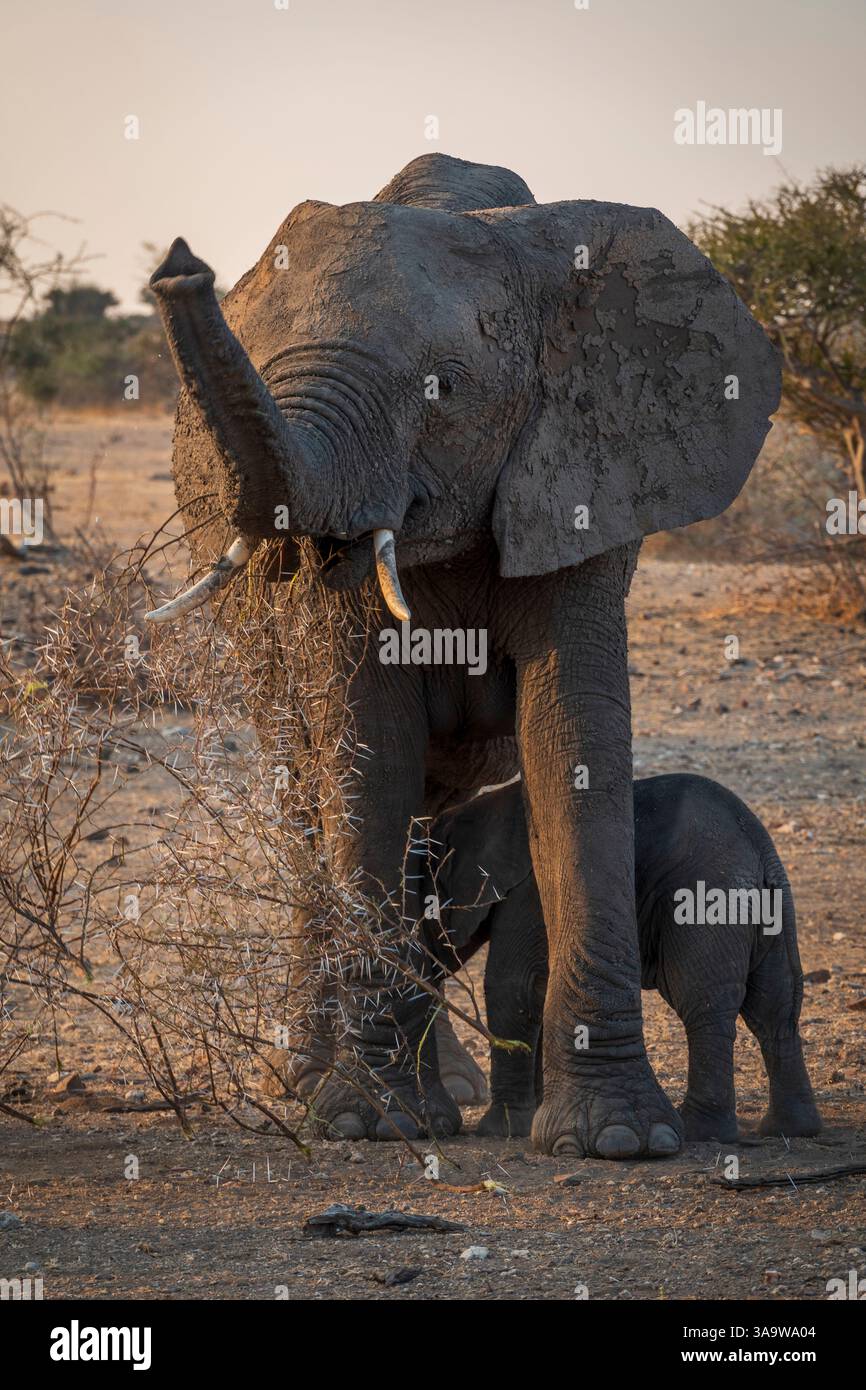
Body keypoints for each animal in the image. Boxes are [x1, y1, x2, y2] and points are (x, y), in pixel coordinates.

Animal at [146, 152, 781, 1158]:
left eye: (443, 389)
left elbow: (572, 742)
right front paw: (364, 1122)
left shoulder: (581, 473)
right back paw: (322, 1086)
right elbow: (367, 752)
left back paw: (442, 1090)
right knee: (307, 794)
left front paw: (616, 1139)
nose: (176, 264)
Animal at [428, 774, 821, 1143]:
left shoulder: (528, 891)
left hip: (706, 903)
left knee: (702, 1004)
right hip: (776, 910)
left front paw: (502, 1131)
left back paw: (699, 1130)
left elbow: (514, 983)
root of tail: (758, 849)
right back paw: (787, 1129)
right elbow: (537, 986)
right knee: (775, 1008)